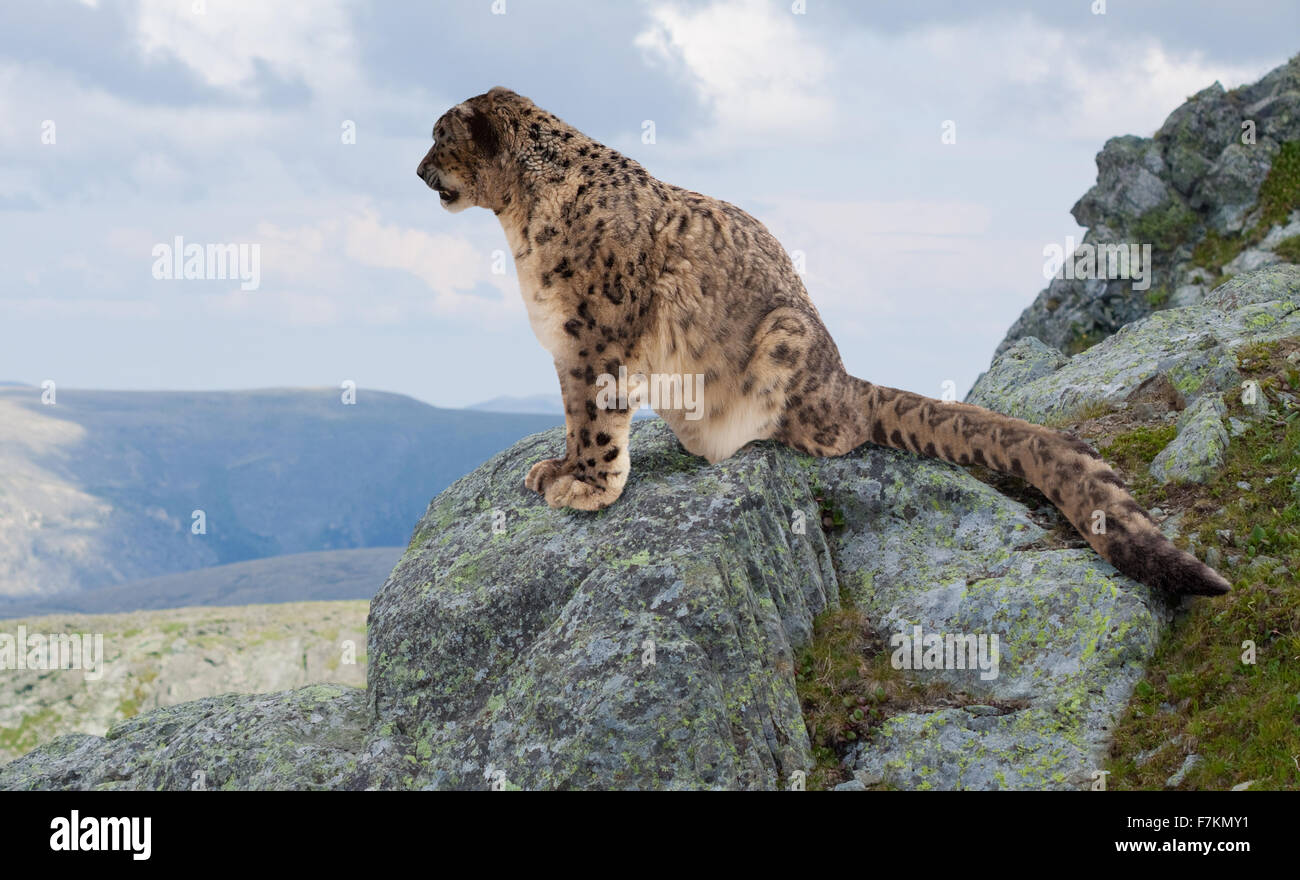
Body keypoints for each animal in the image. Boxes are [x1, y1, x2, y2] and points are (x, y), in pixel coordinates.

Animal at [416, 86, 1230, 597]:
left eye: (439, 138)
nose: (419, 171)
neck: (518, 224)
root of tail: (845, 377)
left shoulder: (596, 341)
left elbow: (594, 423)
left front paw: (584, 485)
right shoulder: (566, 351)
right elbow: (569, 418)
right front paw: (555, 467)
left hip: (788, 343)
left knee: (836, 430)